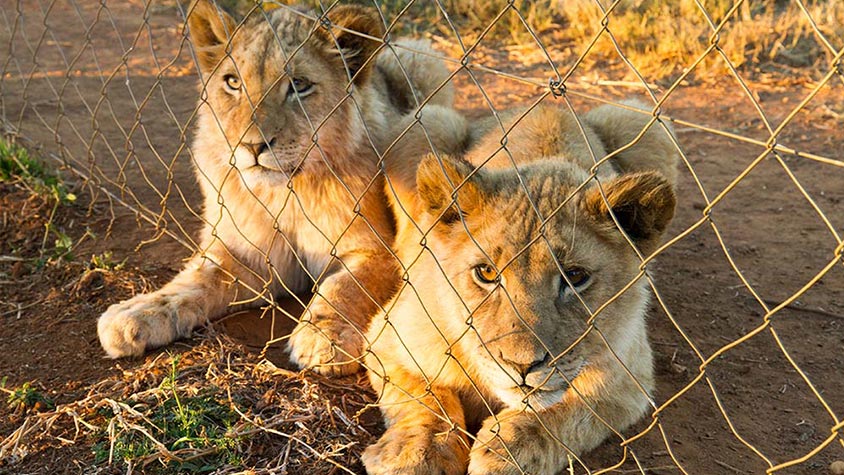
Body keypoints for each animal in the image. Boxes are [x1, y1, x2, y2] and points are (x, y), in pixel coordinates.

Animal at [96, 0, 468, 375]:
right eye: (233, 82)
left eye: (299, 85)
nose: (252, 146)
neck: (285, 194)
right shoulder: (246, 253)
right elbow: (198, 278)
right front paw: (136, 313)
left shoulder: (379, 250)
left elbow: (345, 285)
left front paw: (325, 336)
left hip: (421, 59)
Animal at [362, 101, 680, 474]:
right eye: (486, 272)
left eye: (575, 277)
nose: (522, 367)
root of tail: (551, 105)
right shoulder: (387, 337)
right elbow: (426, 396)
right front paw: (417, 451)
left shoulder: (629, 379)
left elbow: (571, 405)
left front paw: (510, 448)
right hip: (428, 119)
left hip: (645, 120)